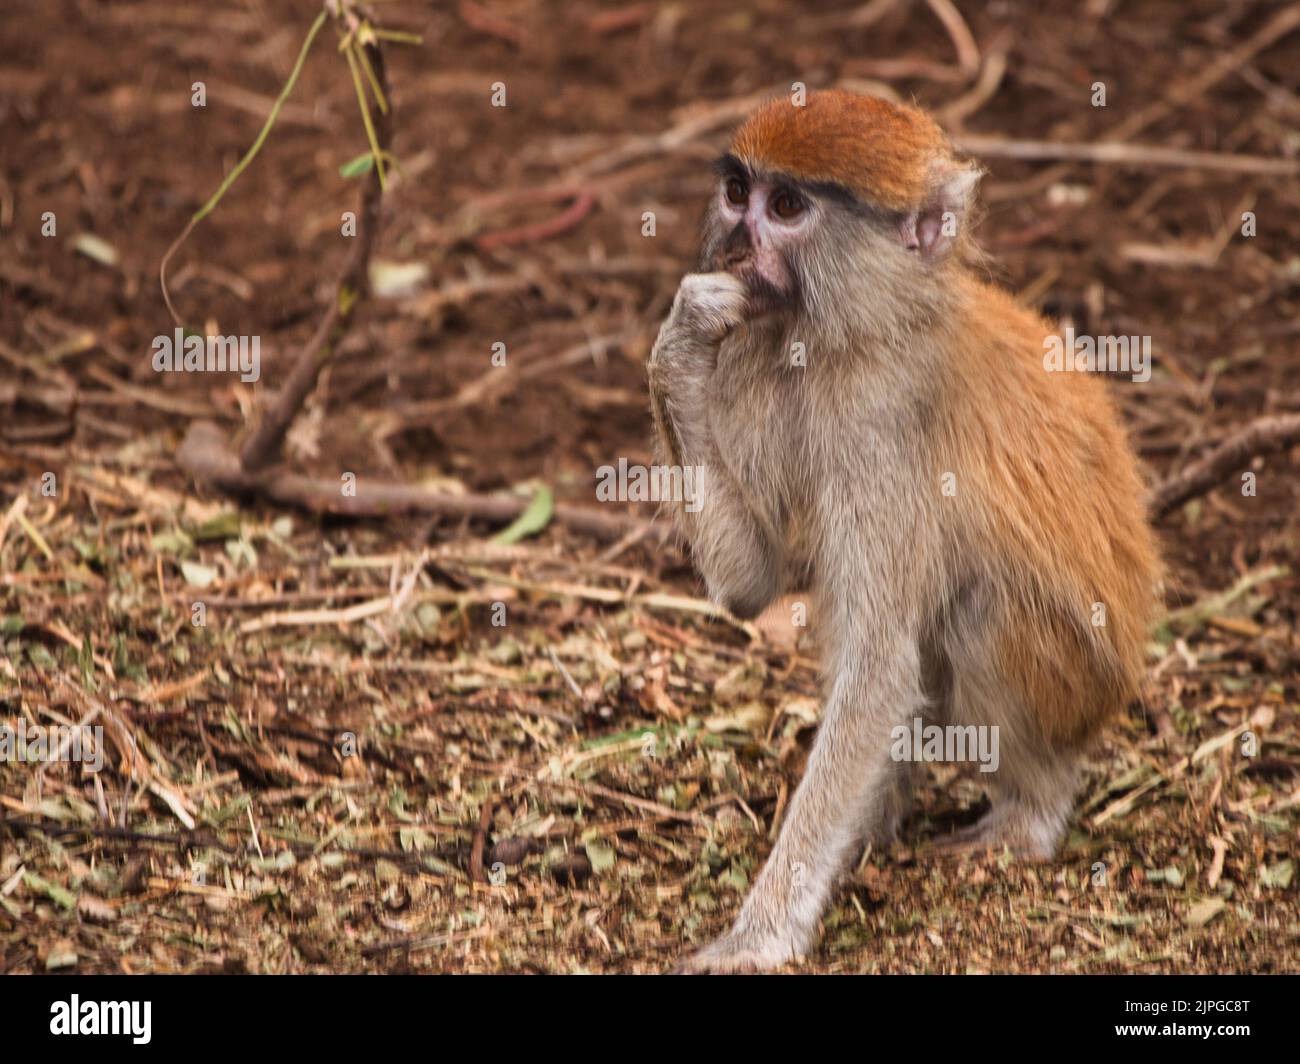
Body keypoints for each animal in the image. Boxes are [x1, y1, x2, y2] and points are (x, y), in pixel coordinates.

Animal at [647, 90, 1161, 973]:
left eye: (787, 208)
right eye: (738, 193)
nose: (739, 244)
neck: (860, 328)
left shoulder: (879, 424)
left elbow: (880, 666)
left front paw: (759, 935)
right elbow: (753, 585)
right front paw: (684, 331)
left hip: (1071, 681)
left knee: (977, 615)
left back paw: (1032, 811)